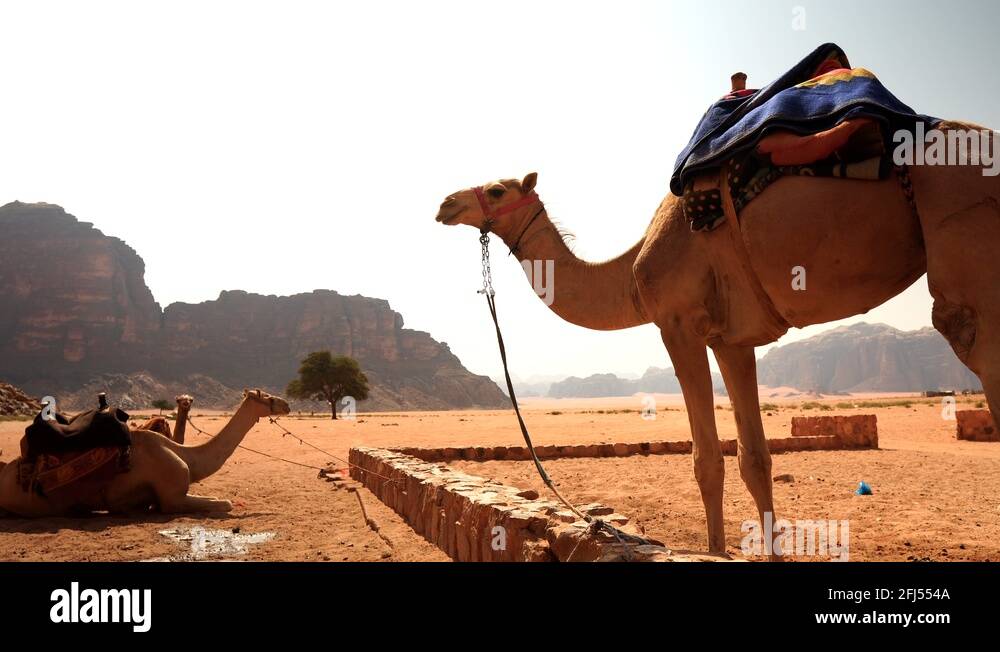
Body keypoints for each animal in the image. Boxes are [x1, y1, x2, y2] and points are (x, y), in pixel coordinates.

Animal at [435, 122, 1000, 557]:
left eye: (498, 190)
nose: (445, 203)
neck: (631, 270)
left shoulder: (678, 324)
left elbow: (706, 461)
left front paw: (715, 550)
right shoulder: (733, 340)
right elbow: (755, 459)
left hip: (966, 235)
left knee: (968, 334)